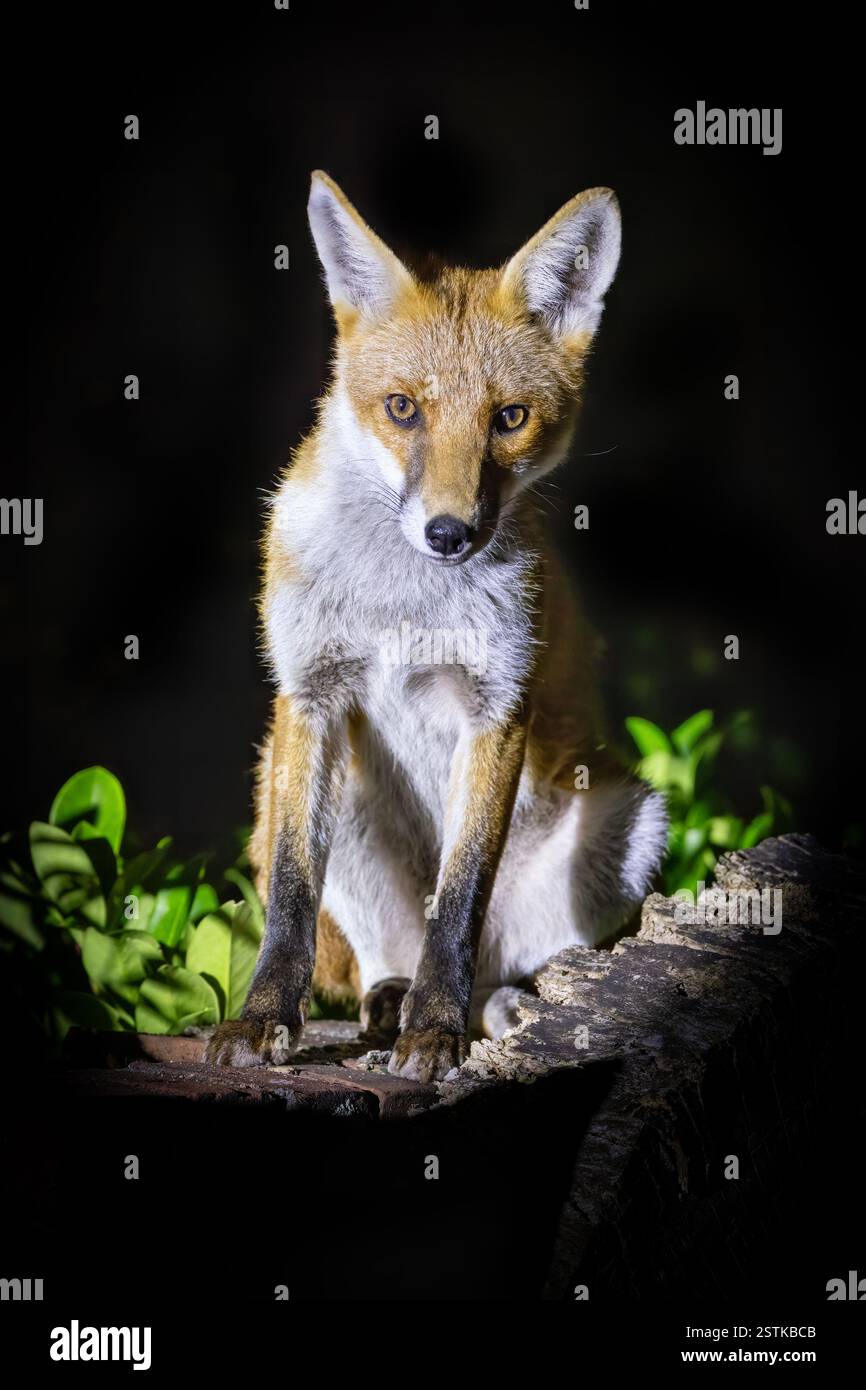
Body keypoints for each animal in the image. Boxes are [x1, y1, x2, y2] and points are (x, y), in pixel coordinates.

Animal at [205, 171, 667, 1082]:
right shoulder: (310, 693)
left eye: (510, 418)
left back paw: (489, 1005)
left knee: (496, 955)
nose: (450, 534)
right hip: (307, 784)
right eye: (403, 409)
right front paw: (264, 1018)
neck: (402, 608)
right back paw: (390, 999)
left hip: (629, 819)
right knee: (379, 955)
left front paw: (436, 1031)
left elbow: (459, 898)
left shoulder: (496, 705)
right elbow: (290, 899)